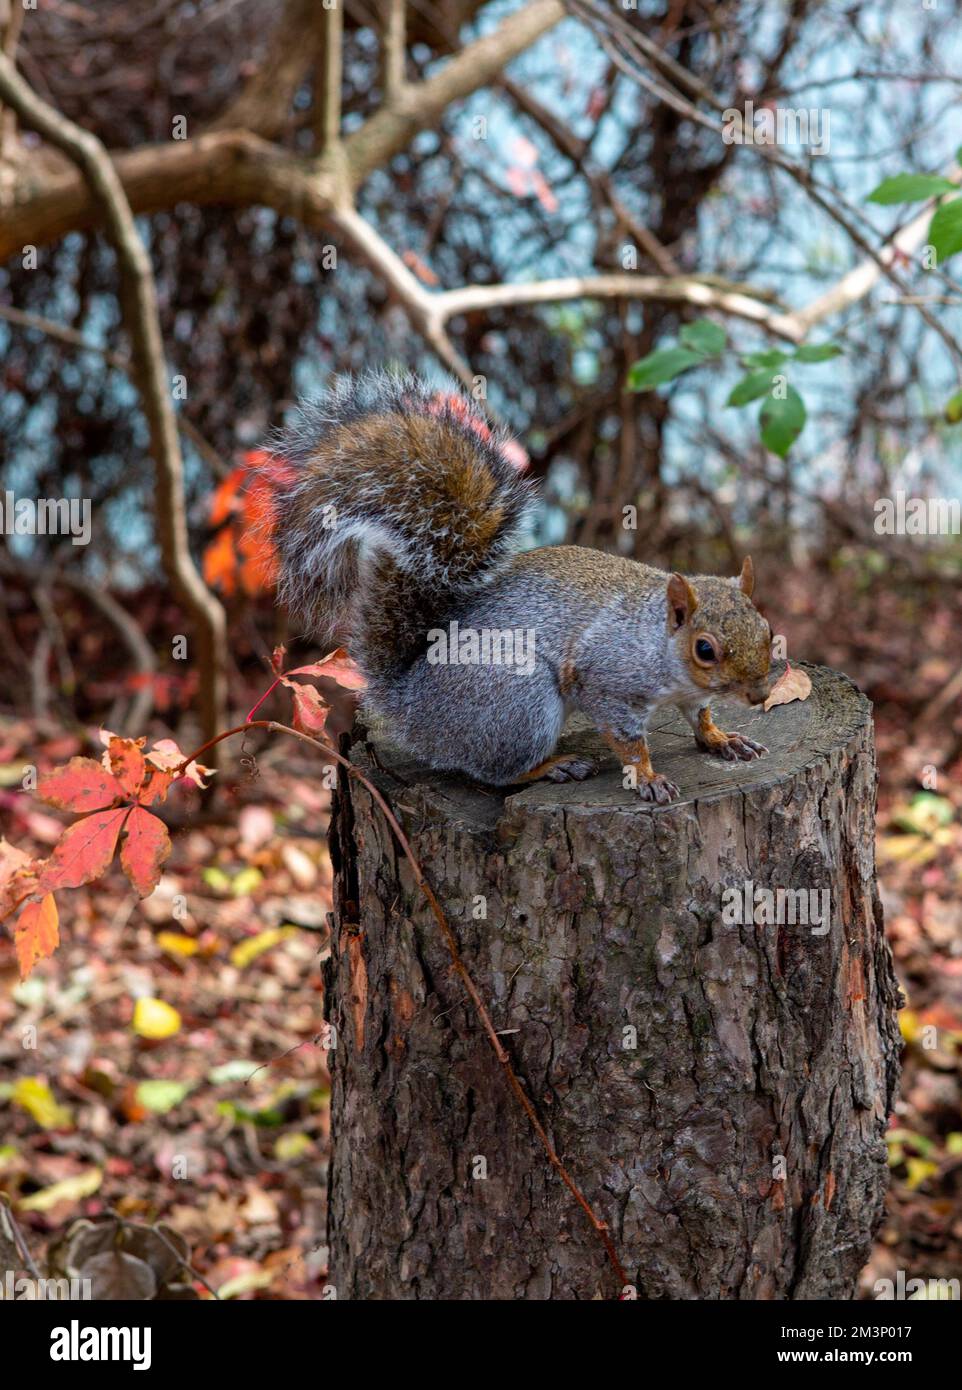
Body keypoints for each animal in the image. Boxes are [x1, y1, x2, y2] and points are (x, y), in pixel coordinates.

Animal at [261, 371, 773, 804]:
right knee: (493, 772)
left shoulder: (690, 694)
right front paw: (646, 776)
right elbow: (628, 739)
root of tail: (406, 703)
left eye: (767, 630)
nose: (758, 697)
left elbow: (701, 714)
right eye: (705, 649)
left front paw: (722, 738)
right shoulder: (607, 681)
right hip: (519, 702)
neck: (658, 641)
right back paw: (553, 766)